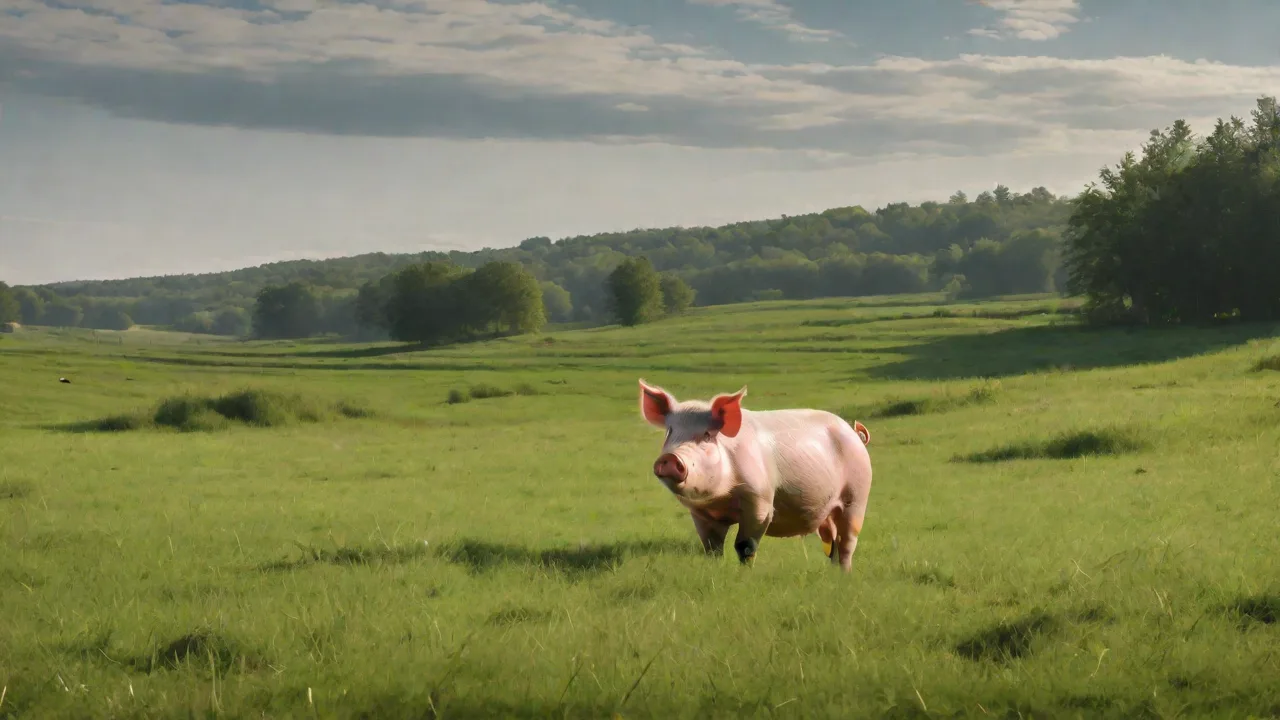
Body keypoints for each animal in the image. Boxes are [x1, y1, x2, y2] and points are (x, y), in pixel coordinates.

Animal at [638, 379, 872, 572]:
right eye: (670, 432)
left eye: (706, 435)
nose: (670, 457)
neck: (720, 499)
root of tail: (853, 433)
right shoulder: (700, 513)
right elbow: (712, 548)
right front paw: (715, 571)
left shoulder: (760, 501)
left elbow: (745, 545)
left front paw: (745, 574)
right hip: (827, 511)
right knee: (832, 542)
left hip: (857, 496)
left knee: (847, 541)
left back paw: (844, 574)